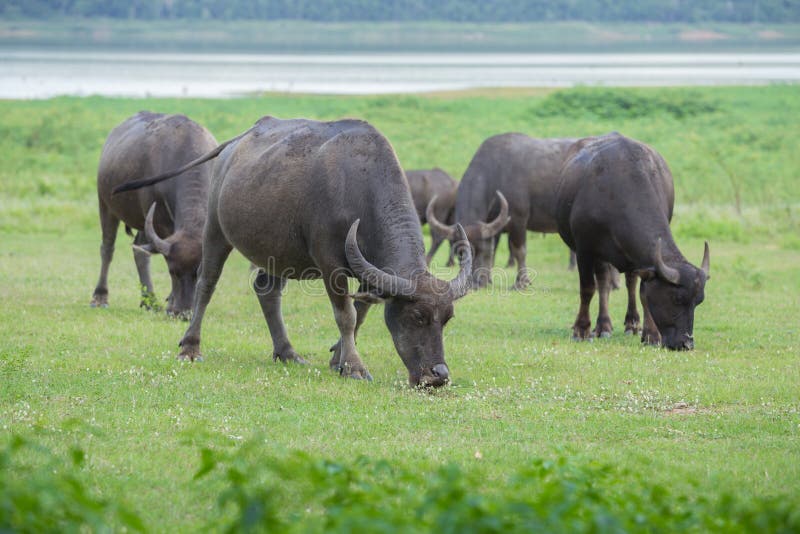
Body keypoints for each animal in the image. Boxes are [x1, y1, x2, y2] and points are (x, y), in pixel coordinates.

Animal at [91, 112, 217, 318]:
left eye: (199, 273)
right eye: (172, 272)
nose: (183, 312)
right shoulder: (161, 222)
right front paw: (171, 302)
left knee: (139, 250)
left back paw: (149, 301)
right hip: (106, 205)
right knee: (107, 248)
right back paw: (100, 297)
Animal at [114, 117, 473, 387]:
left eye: (447, 319)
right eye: (417, 316)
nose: (438, 375)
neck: (357, 185)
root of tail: (233, 145)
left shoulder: (370, 270)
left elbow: (362, 311)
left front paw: (338, 359)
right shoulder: (331, 263)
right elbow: (346, 314)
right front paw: (354, 367)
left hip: (275, 251)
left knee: (266, 289)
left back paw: (286, 351)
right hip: (215, 231)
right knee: (207, 284)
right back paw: (190, 347)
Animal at [556, 132, 710, 350]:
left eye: (699, 301)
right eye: (677, 299)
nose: (686, 344)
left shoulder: (644, 262)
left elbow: (644, 293)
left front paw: (651, 334)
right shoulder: (584, 250)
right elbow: (587, 288)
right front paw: (582, 329)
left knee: (629, 283)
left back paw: (631, 323)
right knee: (603, 283)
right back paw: (603, 326)